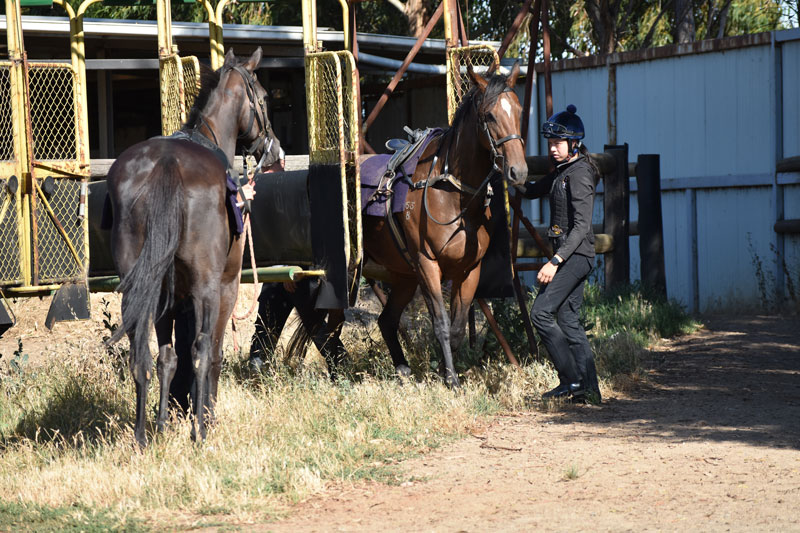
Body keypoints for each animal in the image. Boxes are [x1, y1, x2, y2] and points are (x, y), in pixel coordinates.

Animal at [107, 47, 282, 446]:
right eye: (264, 98)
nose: (274, 149)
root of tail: (167, 163)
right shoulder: (225, 287)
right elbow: (211, 353)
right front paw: (206, 417)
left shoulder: (170, 297)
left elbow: (168, 358)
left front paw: (163, 422)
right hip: (207, 288)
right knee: (201, 351)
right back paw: (199, 430)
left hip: (142, 289)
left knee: (142, 356)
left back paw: (143, 435)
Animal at [363, 64, 528, 387]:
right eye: (490, 116)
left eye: (518, 110)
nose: (519, 171)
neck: (450, 192)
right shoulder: (427, 264)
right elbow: (440, 322)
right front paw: (450, 378)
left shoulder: (468, 270)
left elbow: (457, 327)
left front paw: (444, 371)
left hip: (404, 277)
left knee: (386, 320)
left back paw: (402, 369)